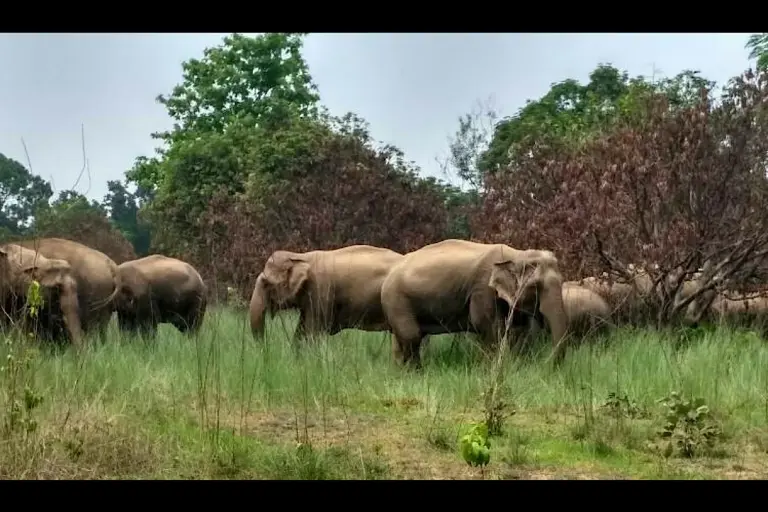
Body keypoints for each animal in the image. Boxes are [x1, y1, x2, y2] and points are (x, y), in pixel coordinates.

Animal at [379, 239, 569, 369]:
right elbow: (488, 326)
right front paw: (489, 370)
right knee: (412, 335)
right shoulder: (482, 288)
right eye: (535, 287)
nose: (546, 366)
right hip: (396, 298)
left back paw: (400, 371)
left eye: (562, 281)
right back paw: (416, 372)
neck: (516, 254)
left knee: (404, 337)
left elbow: (519, 330)